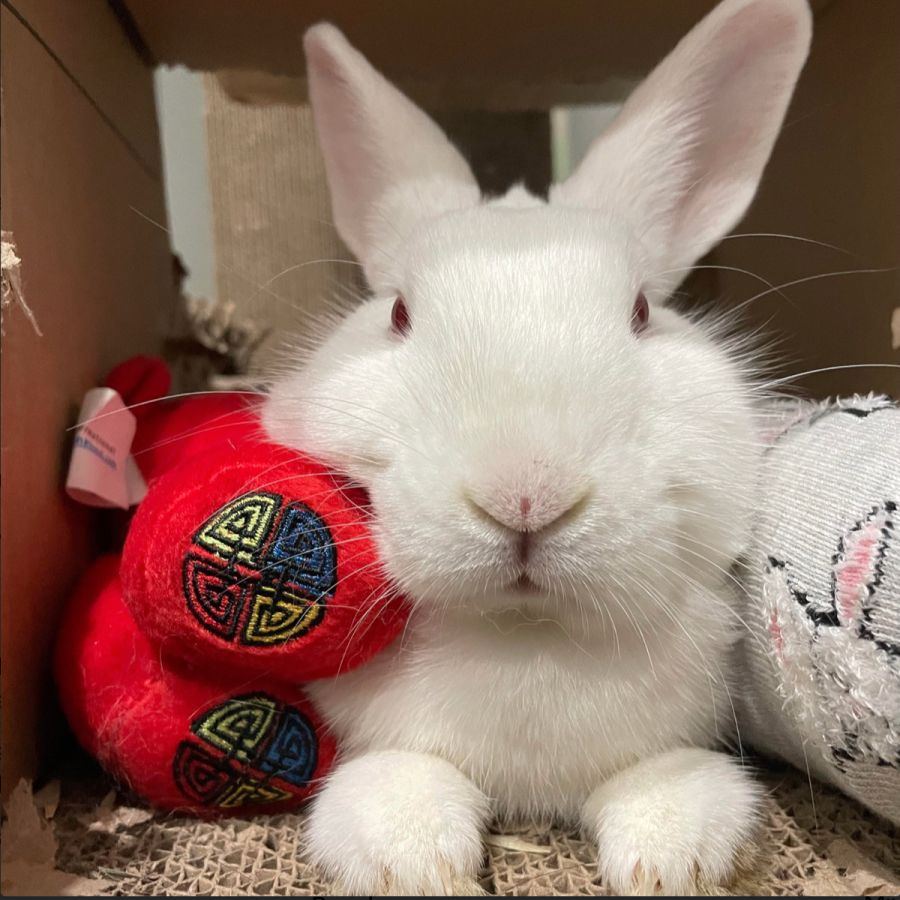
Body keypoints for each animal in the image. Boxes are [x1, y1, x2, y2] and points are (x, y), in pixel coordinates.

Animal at [262, 0, 812, 893]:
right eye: (398, 314)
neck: (528, 636)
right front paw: (413, 861)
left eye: (641, 313)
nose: (525, 495)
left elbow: (660, 782)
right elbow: (402, 779)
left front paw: (670, 857)